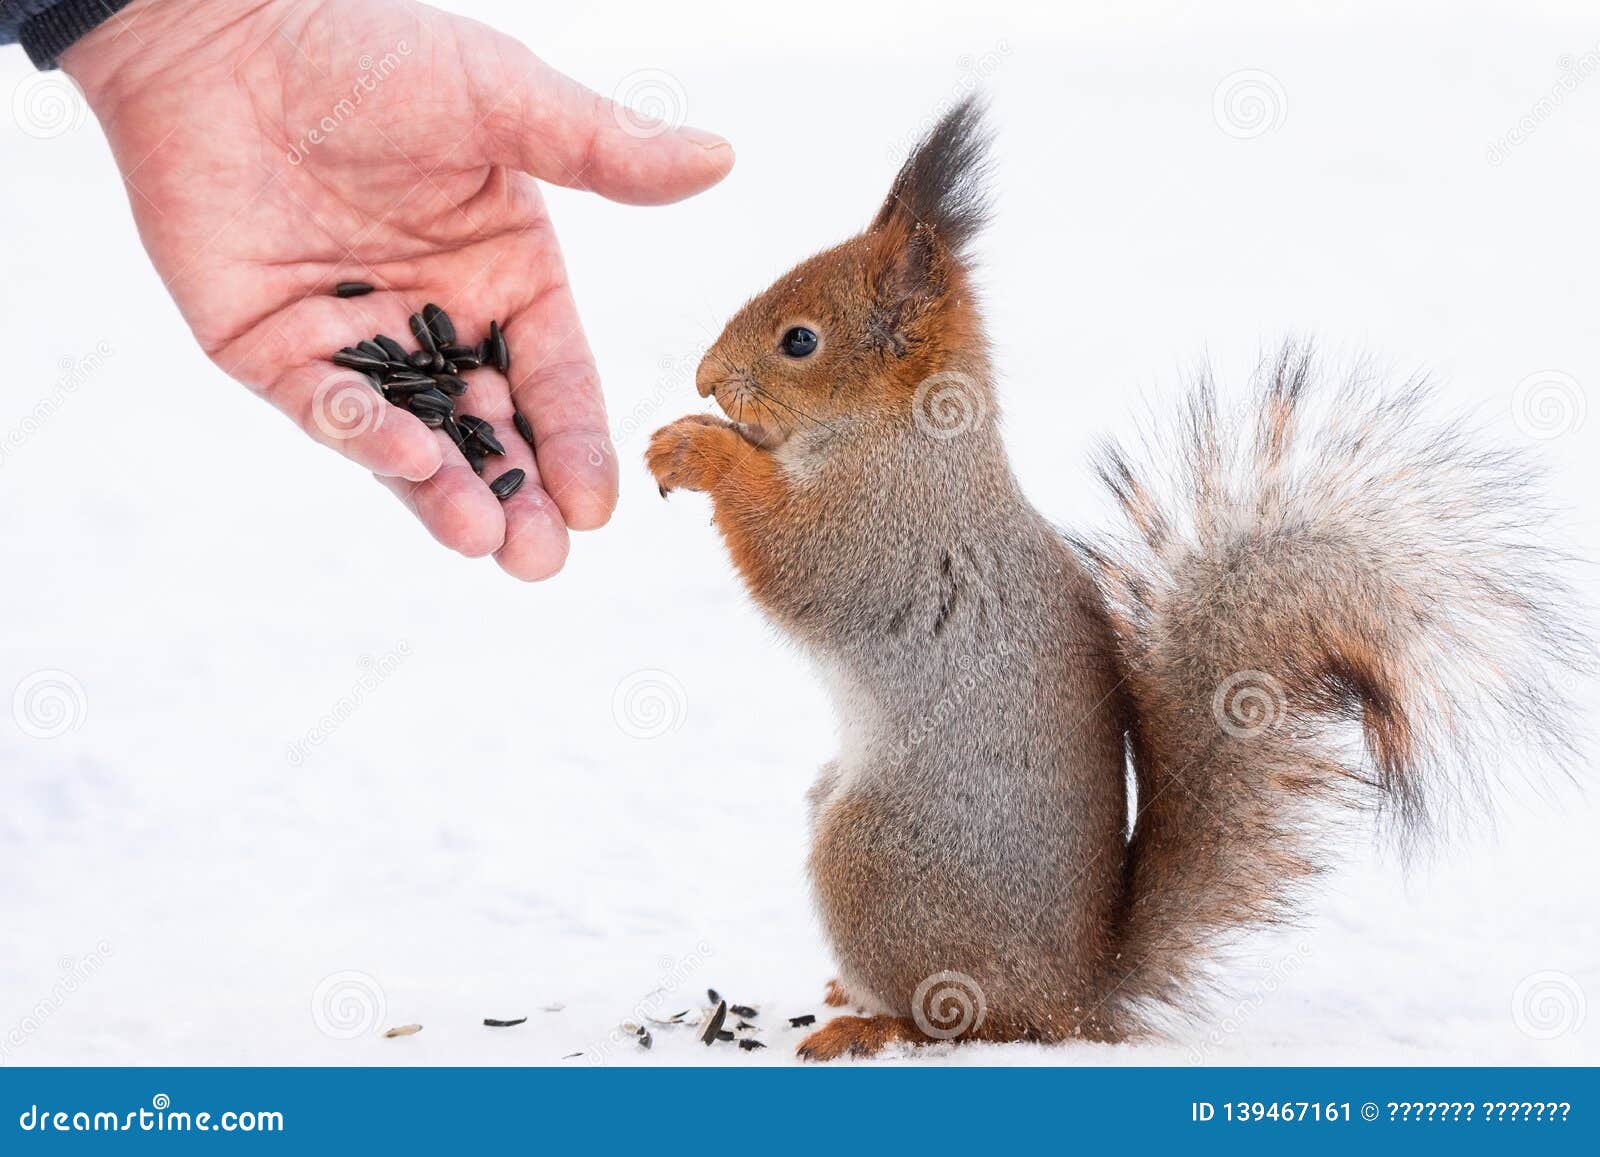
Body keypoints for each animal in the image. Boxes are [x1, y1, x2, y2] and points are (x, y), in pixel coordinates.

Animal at [646, 98, 1585, 1061]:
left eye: (800, 341)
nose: (706, 379)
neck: (903, 432)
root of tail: (1072, 1000)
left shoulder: (880, 530)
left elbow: (790, 556)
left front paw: (696, 449)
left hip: (873, 860)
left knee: (952, 1017)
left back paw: (865, 1022)